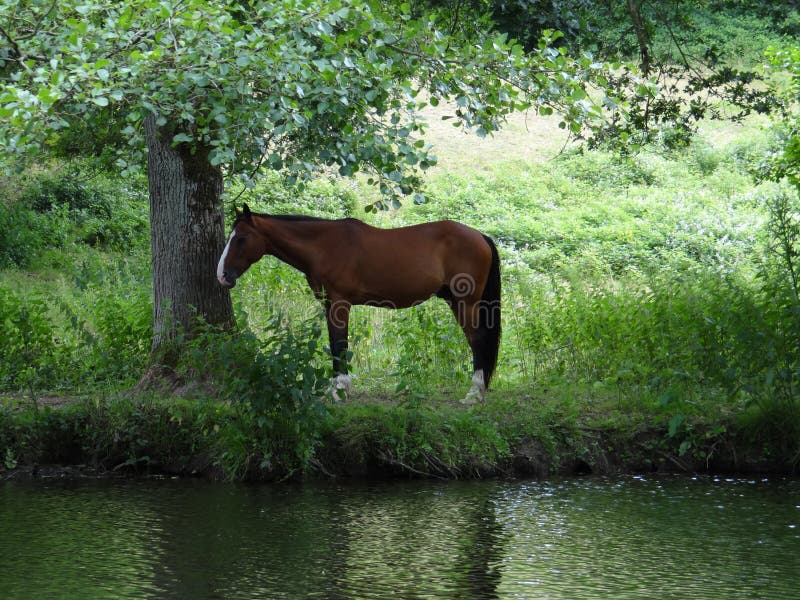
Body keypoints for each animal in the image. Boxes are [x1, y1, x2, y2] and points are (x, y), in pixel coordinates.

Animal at [216, 204, 501, 402]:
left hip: (466, 302)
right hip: (455, 301)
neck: (324, 246)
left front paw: (340, 390)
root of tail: (481, 236)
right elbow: (335, 343)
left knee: (478, 340)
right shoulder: (328, 304)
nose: (222, 275)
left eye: (240, 238)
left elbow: (340, 343)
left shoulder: (340, 303)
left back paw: (474, 394)